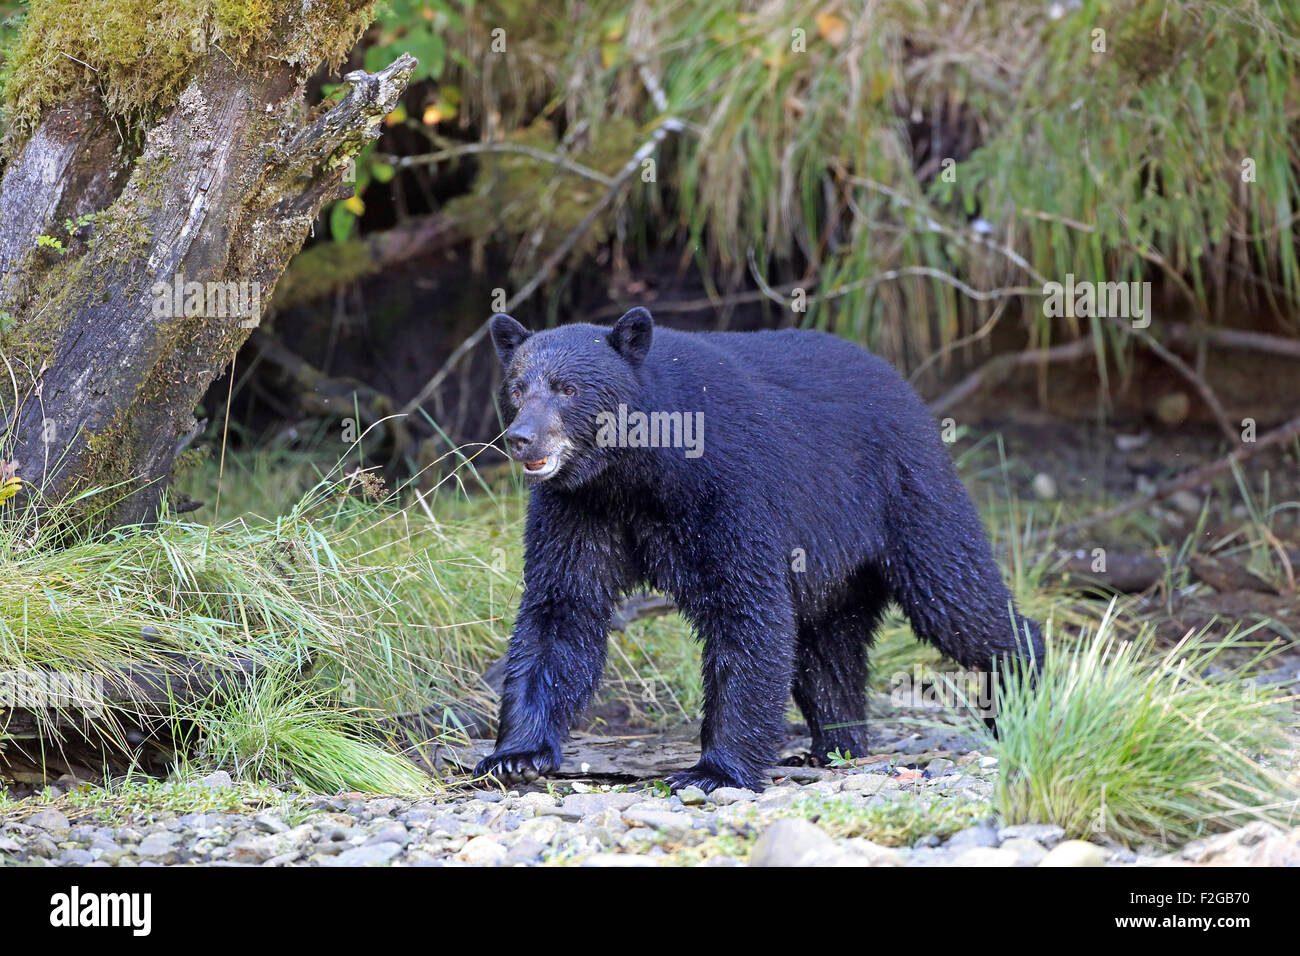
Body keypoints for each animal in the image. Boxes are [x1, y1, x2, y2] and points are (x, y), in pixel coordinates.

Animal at [474, 306, 1042, 793]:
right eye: (518, 389)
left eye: (568, 389)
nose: (521, 438)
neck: (635, 472)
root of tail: (903, 384)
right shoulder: (577, 510)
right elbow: (562, 607)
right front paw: (515, 755)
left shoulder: (730, 488)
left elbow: (746, 607)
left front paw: (713, 771)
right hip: (834, 559)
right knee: (827, 651)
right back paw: (834, 745)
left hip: (906, 493)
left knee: (958, 599)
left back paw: (1026, 694)